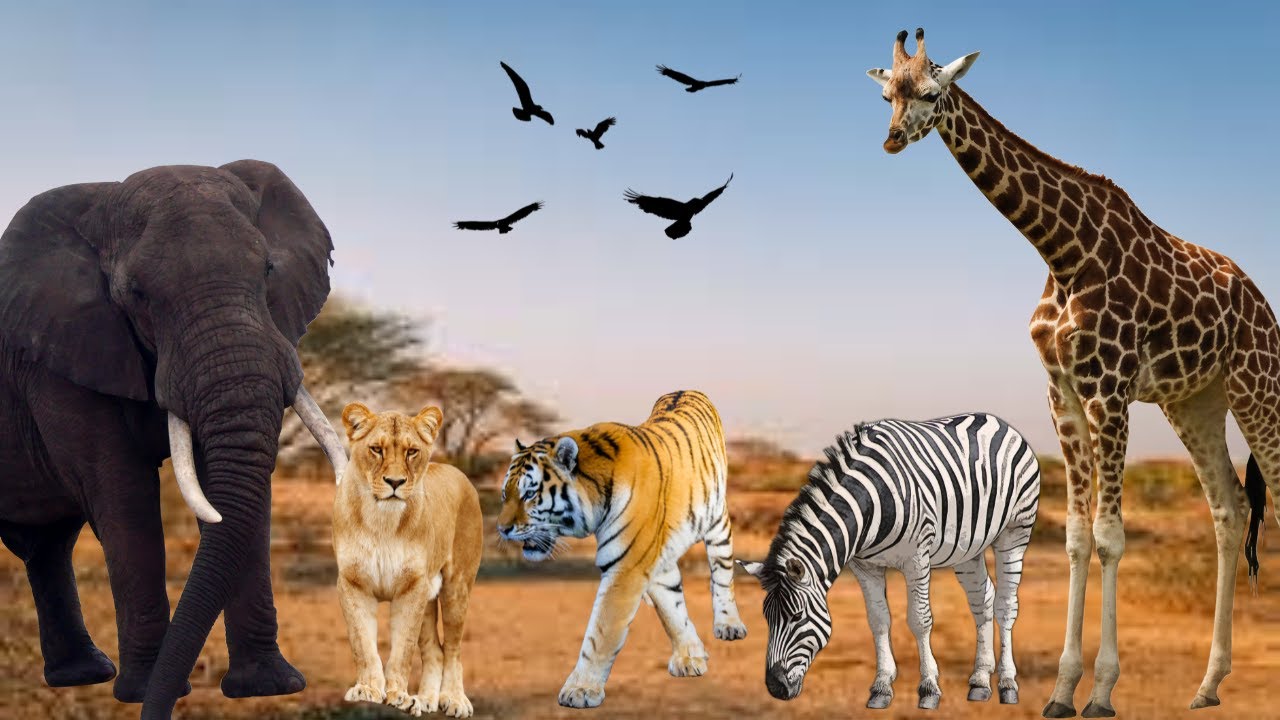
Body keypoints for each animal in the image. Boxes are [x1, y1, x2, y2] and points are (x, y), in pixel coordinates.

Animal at [739, 412, 1040, 710]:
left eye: (797, 616)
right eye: (766, 617)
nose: (775, 687)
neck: (868, 502)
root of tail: (994, 419)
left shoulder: (916, 557)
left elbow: (920, 620)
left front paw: (929, 688)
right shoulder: (865, 566)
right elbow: (878, 620)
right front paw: (881, 687)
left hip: (1016, 529)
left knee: (1006, 605)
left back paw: (1007, 684)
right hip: (968, 547)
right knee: (982, 600)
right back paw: (979, 681)